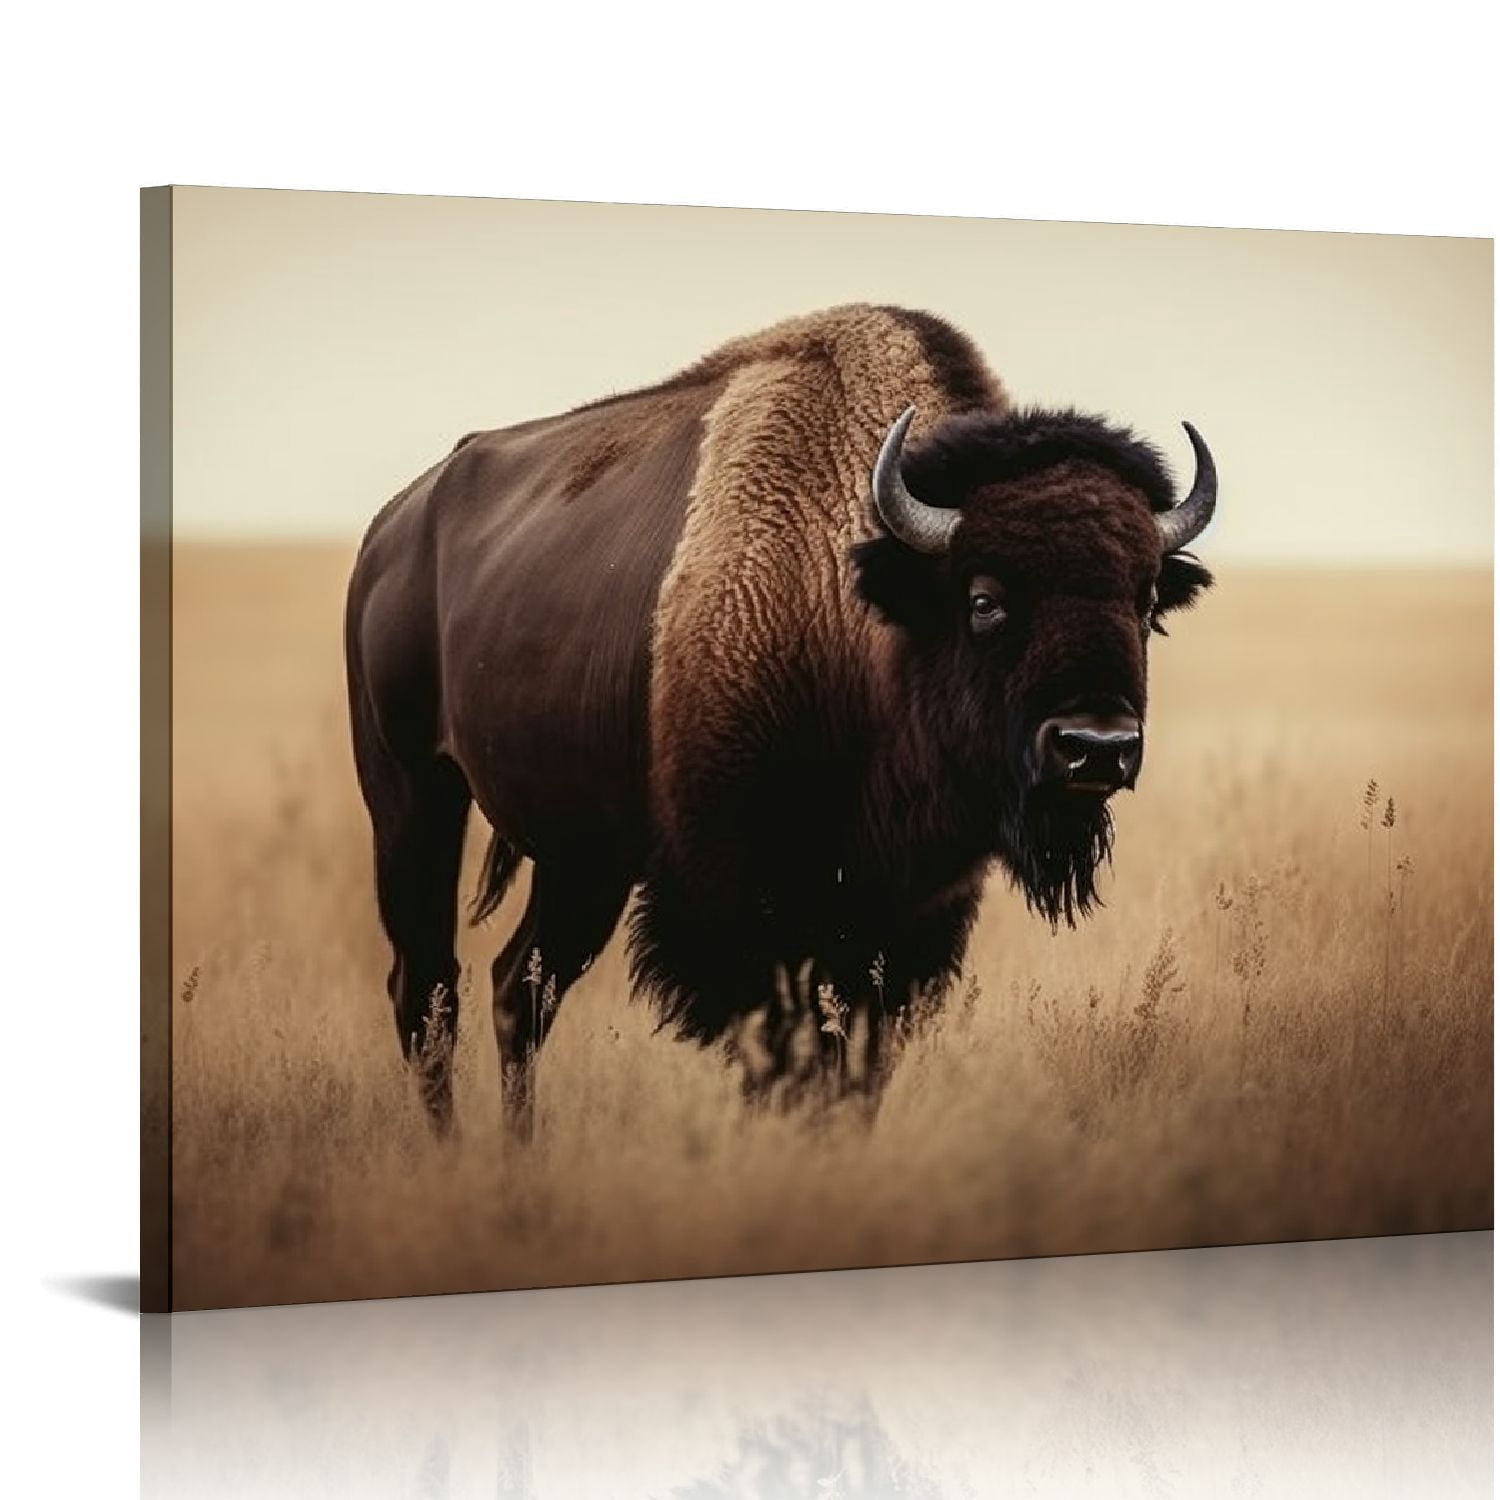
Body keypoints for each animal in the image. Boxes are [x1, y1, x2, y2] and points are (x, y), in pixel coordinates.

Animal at [344, 304, 1217, 1133]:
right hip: (414, 798)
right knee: (427, 988)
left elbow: (854, 1066)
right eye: (984, 599)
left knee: (518, 990)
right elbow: (786, 1062)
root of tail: (391, 530)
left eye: (1144, 601)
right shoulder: (741, 910)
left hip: (584, 858)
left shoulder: (901, 920)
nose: (1095, 748)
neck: (851, 599)